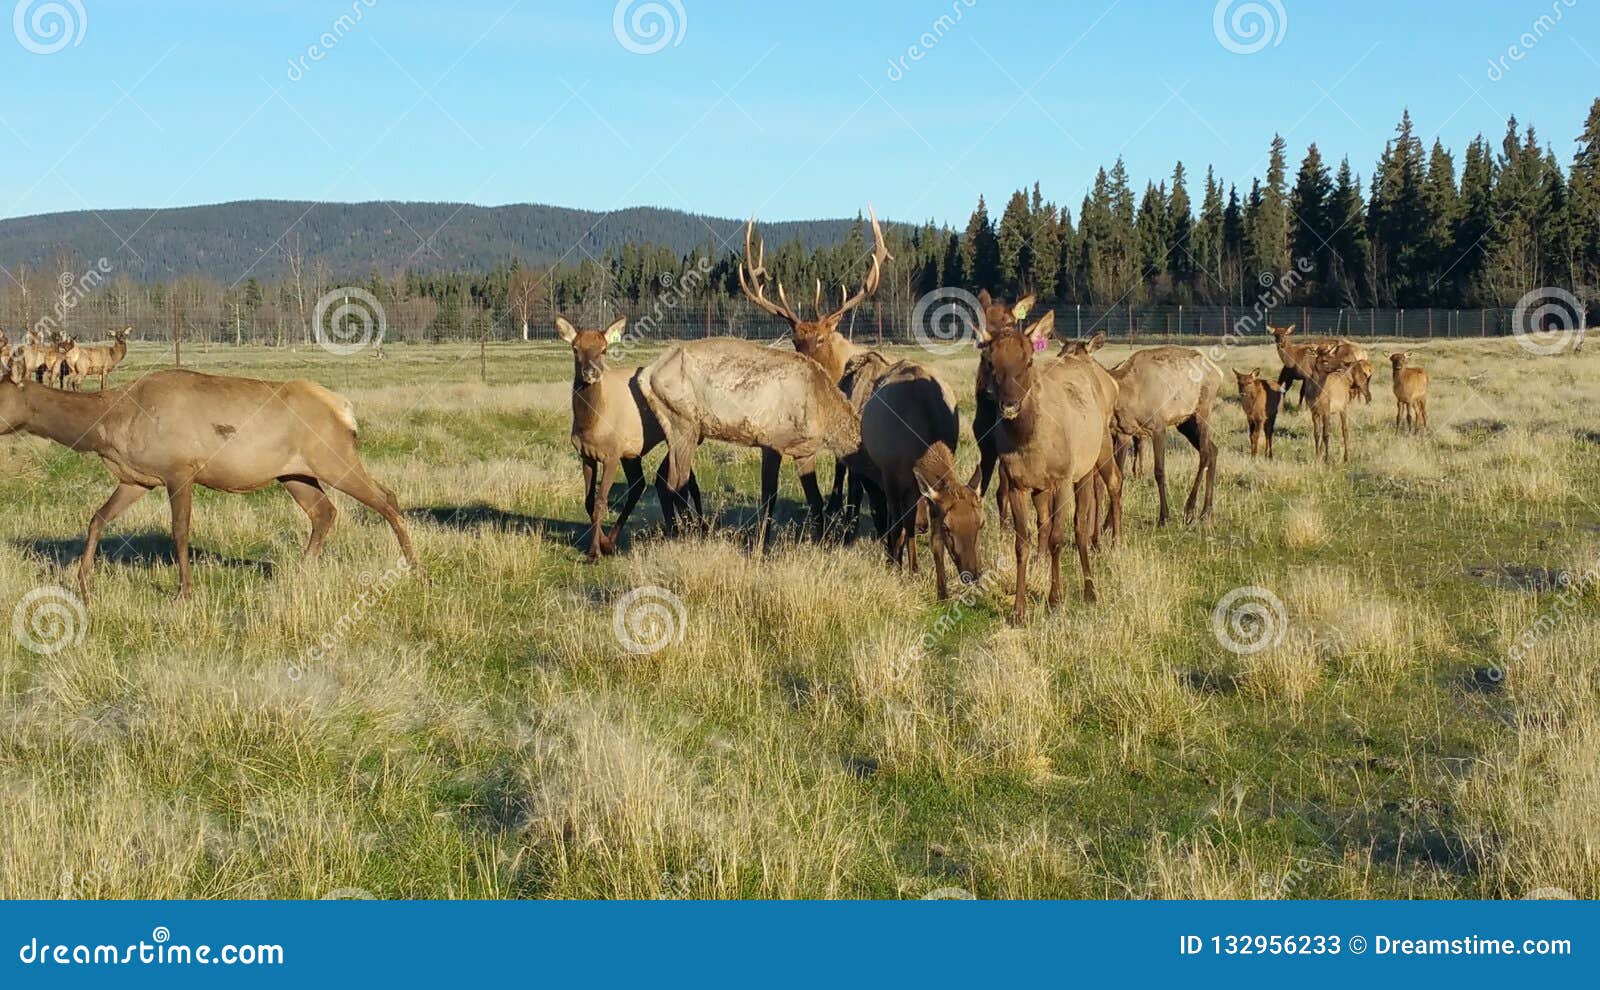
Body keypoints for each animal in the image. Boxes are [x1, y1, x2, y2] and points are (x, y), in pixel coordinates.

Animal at [0, 370, 424, 600]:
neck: (105, 429)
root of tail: (344, 409)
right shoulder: (138, 479)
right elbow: (97, 519)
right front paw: (85, 585)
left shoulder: (179, 470)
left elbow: (180, 531)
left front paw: (184, 591)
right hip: (295, 474)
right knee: (325, 511)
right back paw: (301, 572)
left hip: (334, 457)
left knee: (387, 498)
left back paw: (416, 568)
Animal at [556, 314, 702, 563]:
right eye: (575, 349)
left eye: (604, 350)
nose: (591, 373)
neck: (590, 425)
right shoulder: (587, 455)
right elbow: (588, 501)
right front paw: (604, 544)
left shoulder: (612, 454)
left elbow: (601, 501)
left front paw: (594, 553)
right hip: (636, 452)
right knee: (647, 483)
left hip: (680, 436)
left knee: (681, 481)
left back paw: (696, 528)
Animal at [640, 337, 875, 552]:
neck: (824, 413)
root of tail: (646, 374)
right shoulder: (772, 443)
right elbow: (769, 497)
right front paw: (762, 547)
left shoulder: (804, 452)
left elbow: (816, 500)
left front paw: (823, 543)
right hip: (684, 424)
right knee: (676, 483)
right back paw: (690, 538)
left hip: (683, 430)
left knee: (664, 479)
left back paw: (676, 534)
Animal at [859, 359, 982, 599]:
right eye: (948, 527)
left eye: (979, 524)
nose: (972, 574)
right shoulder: (889, 475)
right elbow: (897, 524)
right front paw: (895, 567)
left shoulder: (923, 489)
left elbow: (931, 539)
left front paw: (940, 589)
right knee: (895, 517)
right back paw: (894, 558)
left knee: (909, 521)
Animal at [981, 310, 1119, 623]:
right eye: (990, 361)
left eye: (1029, 360)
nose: (1009, 405)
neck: (1030, 444)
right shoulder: (1017, 483)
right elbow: (1021, 544)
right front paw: (1019, 609)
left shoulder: (1062, 478)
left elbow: (1058, 537)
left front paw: (1055, 599)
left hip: (1095, 453)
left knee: (1088, 515)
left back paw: (1092, 585)